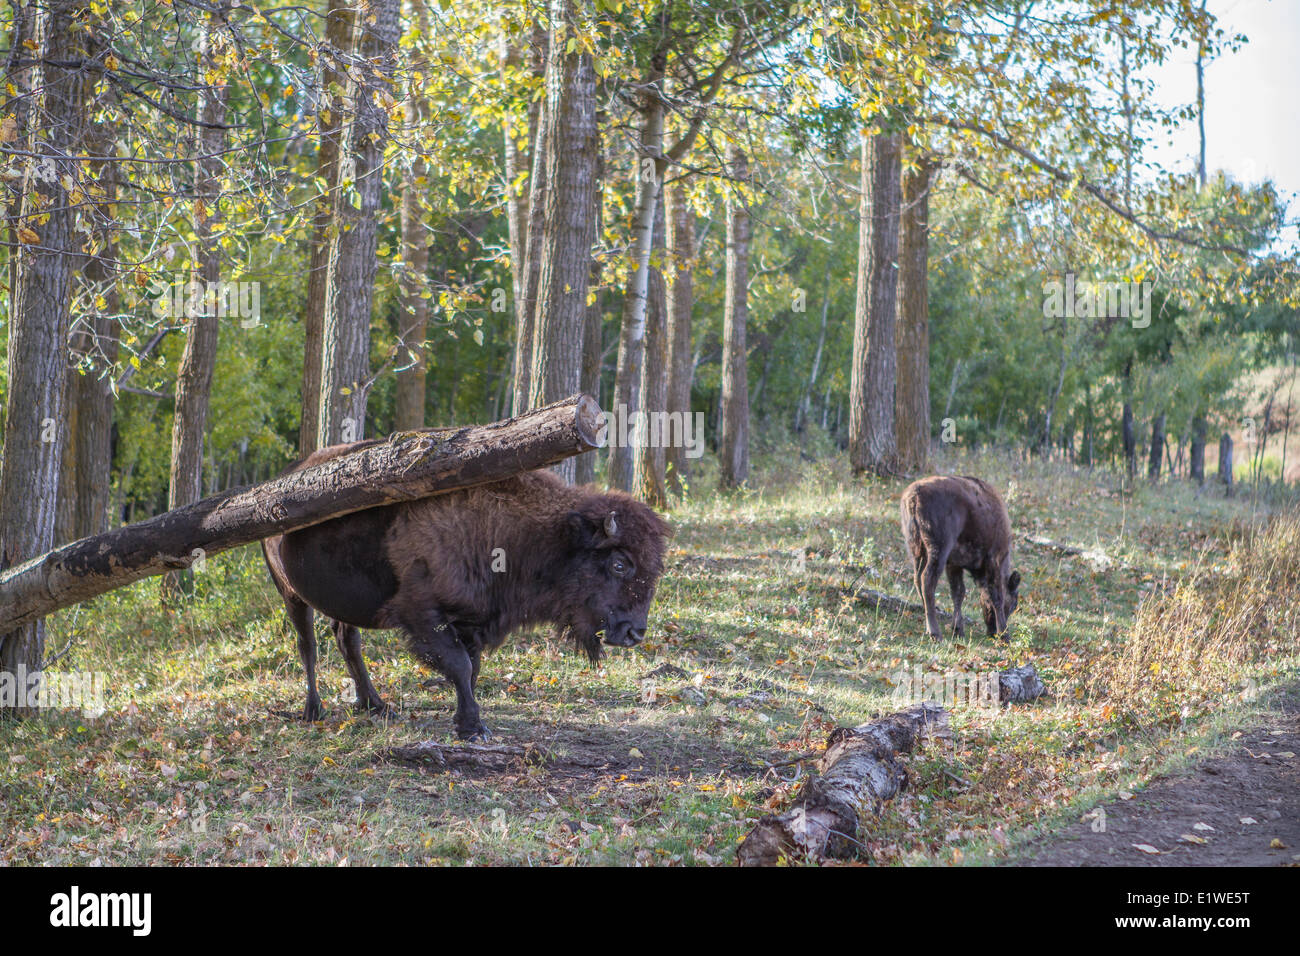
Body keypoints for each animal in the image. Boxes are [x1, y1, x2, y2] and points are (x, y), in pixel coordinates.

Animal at [262, 443, 670, 738]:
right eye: (619, 563)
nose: (635, 632)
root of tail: (280, 482)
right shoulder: (424, 614)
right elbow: (459, 664)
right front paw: (474, 728)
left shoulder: (474, 621)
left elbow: (472, 669)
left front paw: (465, 720)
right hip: (290, 594)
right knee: (308, 646)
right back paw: (314, 710)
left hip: (343, 604)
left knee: (348, 641)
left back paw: (374, 705)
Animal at [900, 475, 1021, 640]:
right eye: (1014, 604)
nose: (992, 631)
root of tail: (914, 495)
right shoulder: (993, 558)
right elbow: (996, 596)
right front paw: (1005, 635)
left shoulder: (954, 564)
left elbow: (958, 592)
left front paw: (958, 630)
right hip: (939, 549)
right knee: (927, 580)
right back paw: (935, 632)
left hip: (917, 550)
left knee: (917, 579)